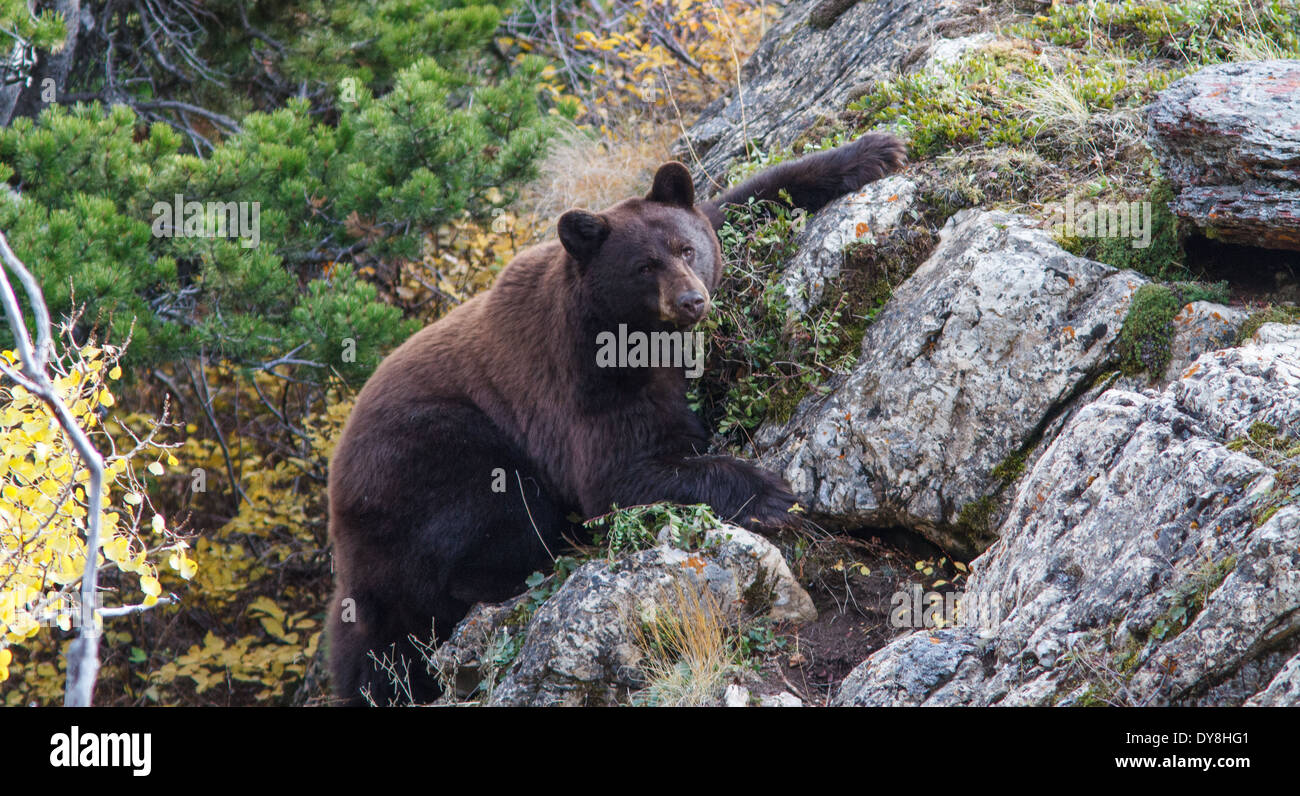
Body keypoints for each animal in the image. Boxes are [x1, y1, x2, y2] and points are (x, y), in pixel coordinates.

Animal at [326, 133, 906, 705]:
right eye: (643, 266)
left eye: (685, 249)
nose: (692, 300)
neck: (642, 341)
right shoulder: (583, 384)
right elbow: (618, 475)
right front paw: (770, 492)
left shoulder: (704, 228)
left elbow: (741, 201)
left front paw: (873, 152)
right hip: (427, 457)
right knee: (492, 517)